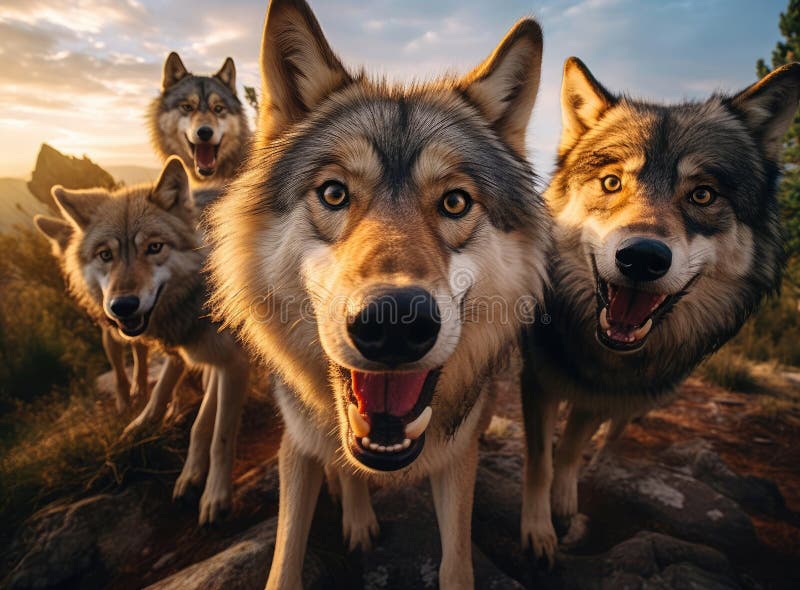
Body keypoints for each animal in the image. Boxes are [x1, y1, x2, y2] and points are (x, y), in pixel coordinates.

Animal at [36, 157, 251, 524]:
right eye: (105, 255)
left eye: (154, 247)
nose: (122, 306)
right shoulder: (199, 352)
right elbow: (188, 414)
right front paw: (145, 435)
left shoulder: (233, 362)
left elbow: (220, 435)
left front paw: (214, 497)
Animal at [205, 1, 549, 587]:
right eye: (334, 193)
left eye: (455, 202)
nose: (393, 324)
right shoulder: (296, 445)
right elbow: (286, 555)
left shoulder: (458, 457)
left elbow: (456, 563)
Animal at [520, 57, 800, 563]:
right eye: (612, 182)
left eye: (703, 195)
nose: (642, 258)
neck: (602, 354)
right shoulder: (538, 380)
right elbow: (539, 460)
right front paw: (538, 530)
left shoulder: (602, 391)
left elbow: (570, 448)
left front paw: (564, 504)